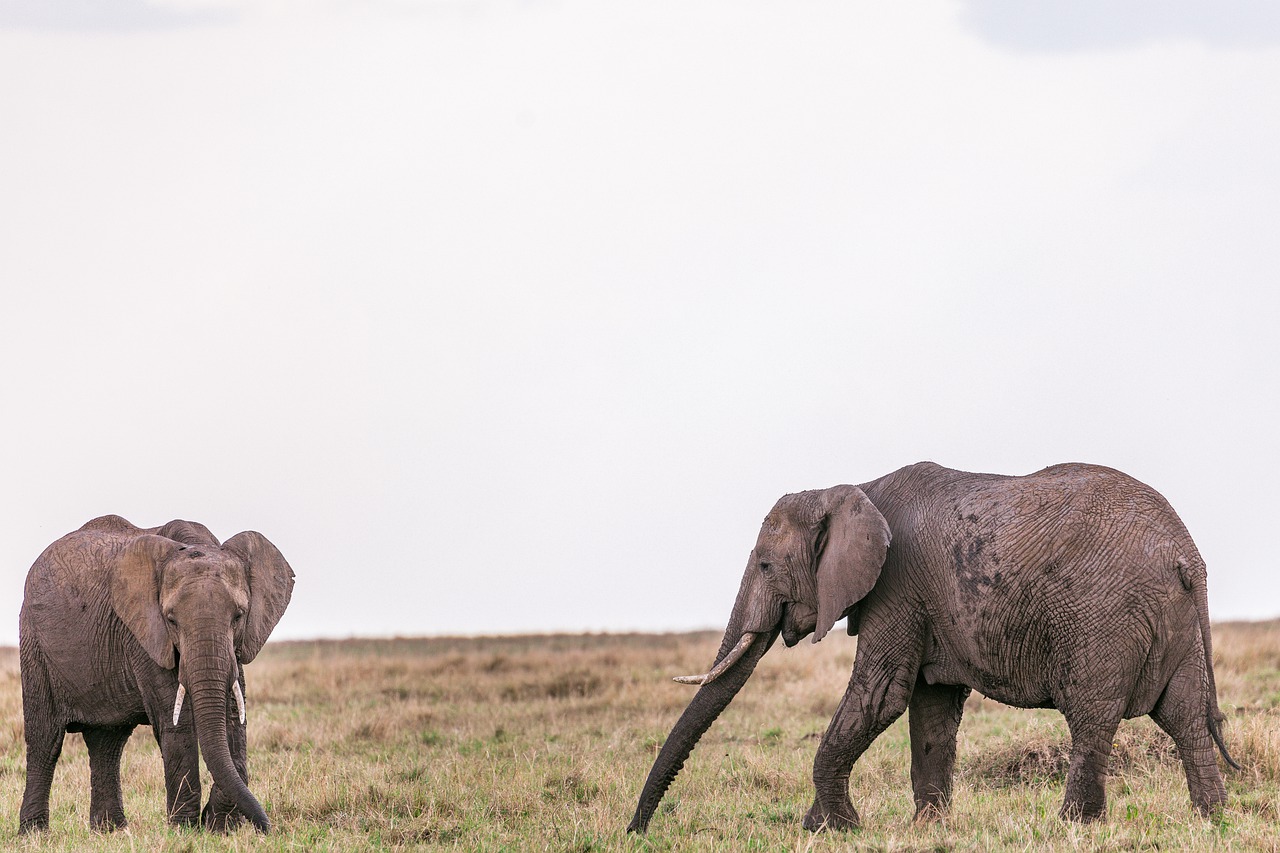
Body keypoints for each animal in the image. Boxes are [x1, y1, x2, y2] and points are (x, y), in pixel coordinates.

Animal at [18, 515, 294, 834]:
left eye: (239, 615)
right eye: (171, 619)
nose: (266, 827)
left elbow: (235, 717)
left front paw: (222, 827)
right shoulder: (144, 635)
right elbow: (177, 722)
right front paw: (185, 829)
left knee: (107, 742)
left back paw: (111, 831)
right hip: (34, 645)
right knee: (45, 740)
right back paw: (34, 834)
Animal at [629, 462, 1237, 833]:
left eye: (763, 565)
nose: (636, 832)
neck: (852, 489)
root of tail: (1188, 555)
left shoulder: (896, 587)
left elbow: (881, 695)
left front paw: (835, 829)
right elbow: (930, 707)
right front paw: (926, 828)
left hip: (1106, 618)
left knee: (1092, 718)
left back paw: (1071, 827)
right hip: (1174, 622)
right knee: (1185, 717)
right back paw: (1211, 820)